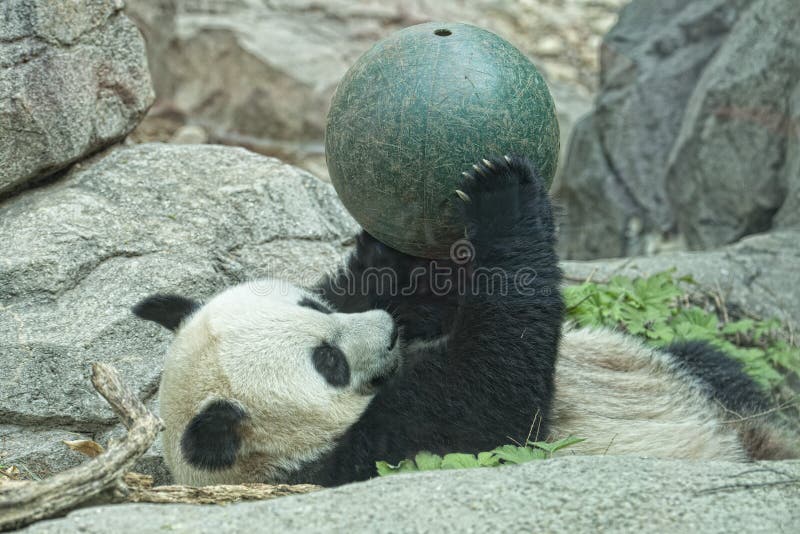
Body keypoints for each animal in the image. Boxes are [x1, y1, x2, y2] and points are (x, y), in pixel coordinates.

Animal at [133, 156, 796, 487]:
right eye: (329, 363)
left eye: (314, 311)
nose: (388, 332)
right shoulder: (386, 448)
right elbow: (494, 395)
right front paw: (503, 198)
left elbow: (408, 290)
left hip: (682, 366)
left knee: (714, 365)